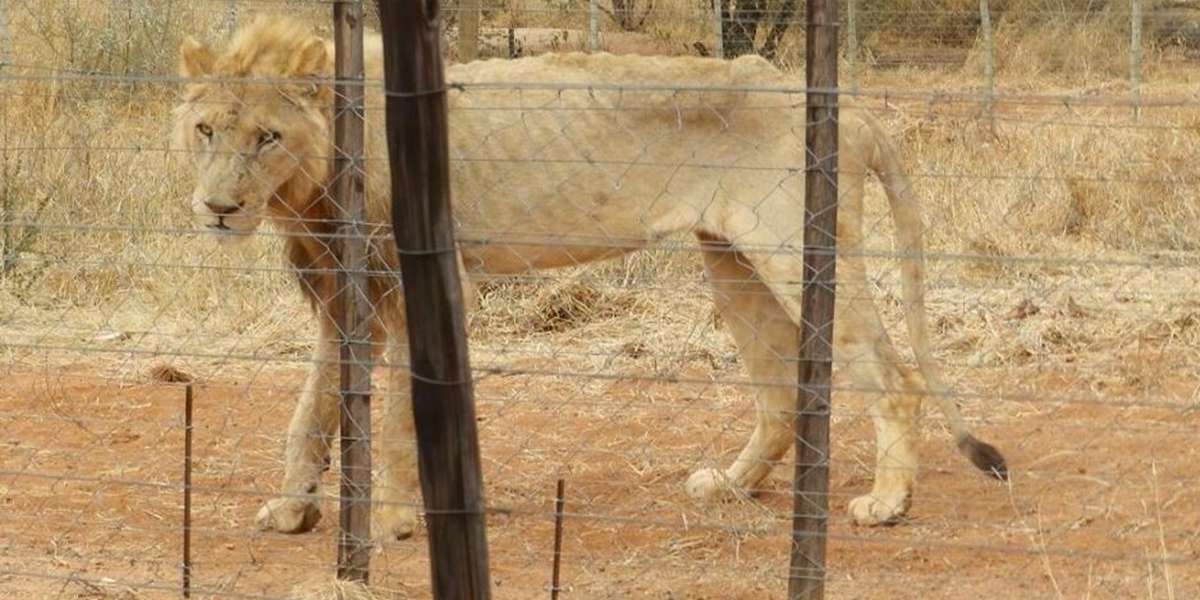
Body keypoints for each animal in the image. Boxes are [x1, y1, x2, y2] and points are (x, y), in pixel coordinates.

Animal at [173, 17, 1006, 541]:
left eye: (267, 136)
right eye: (206, 130)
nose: (216, 209)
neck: (308, 186)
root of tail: (848, 105)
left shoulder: (423, 289)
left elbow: (404, 418)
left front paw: (396, 522)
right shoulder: (342, 299)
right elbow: (309, 414)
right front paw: (290, 511)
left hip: (793, 246)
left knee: (892, 373)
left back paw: (888, 501)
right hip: (731, 259)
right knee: (782, 390)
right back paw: (733, 486)